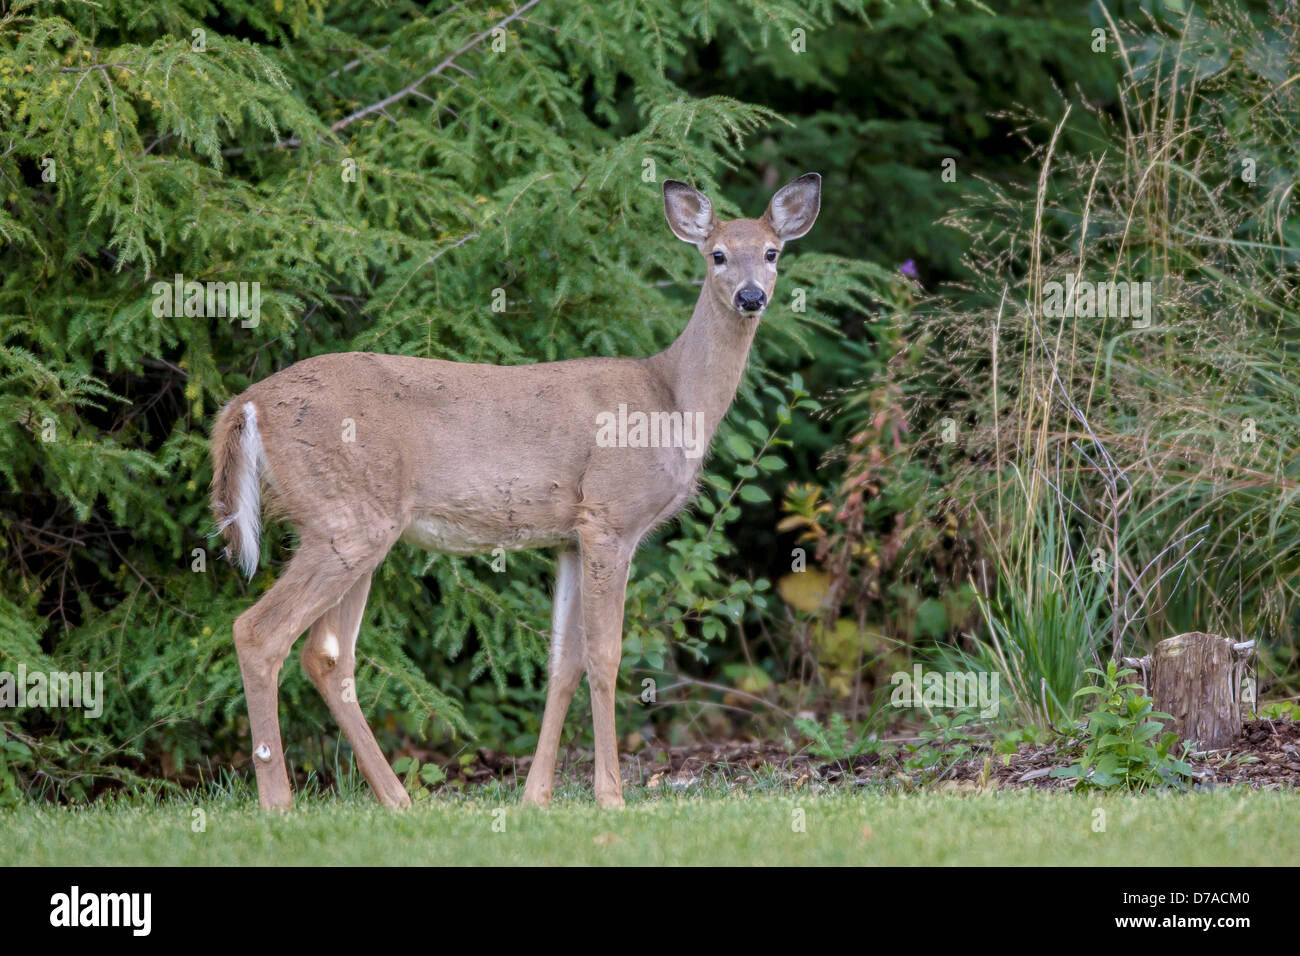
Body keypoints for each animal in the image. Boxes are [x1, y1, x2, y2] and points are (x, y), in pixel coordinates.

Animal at [209, 172, 821, 810]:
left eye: (772, 253)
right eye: (718, 254)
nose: (751, 297)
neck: (672, 402)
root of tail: (244, 406)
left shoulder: (571, 536)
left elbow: (563, 661)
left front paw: (537, 795)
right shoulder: (611, 516)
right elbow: (605, 655)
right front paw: (611, 796)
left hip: (349, 525)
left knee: (327, 655)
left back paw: (398, 800)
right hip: (347, 519)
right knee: (259, 633)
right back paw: (280, 803)